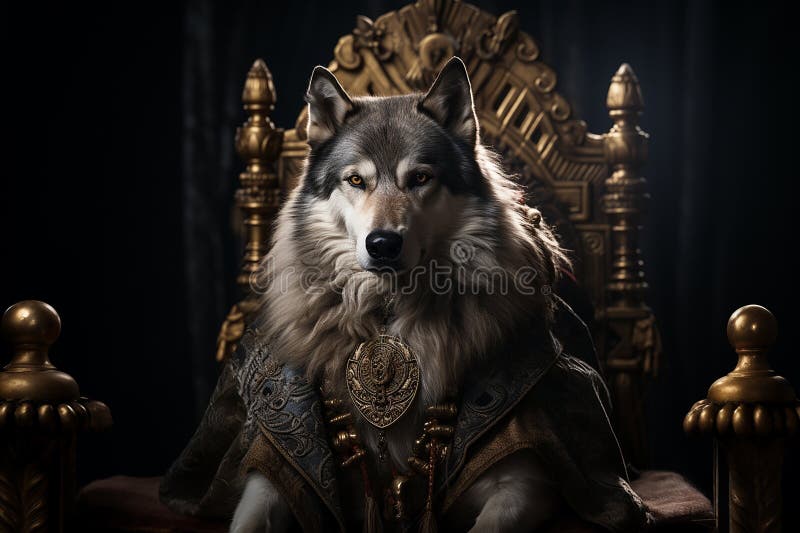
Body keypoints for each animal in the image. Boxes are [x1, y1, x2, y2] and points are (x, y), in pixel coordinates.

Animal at [230, 57, 577, 532]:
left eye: (420, 178)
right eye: (356, 180)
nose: (382, 244)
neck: (388, 318)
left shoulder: (524, 480)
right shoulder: (277, 473)